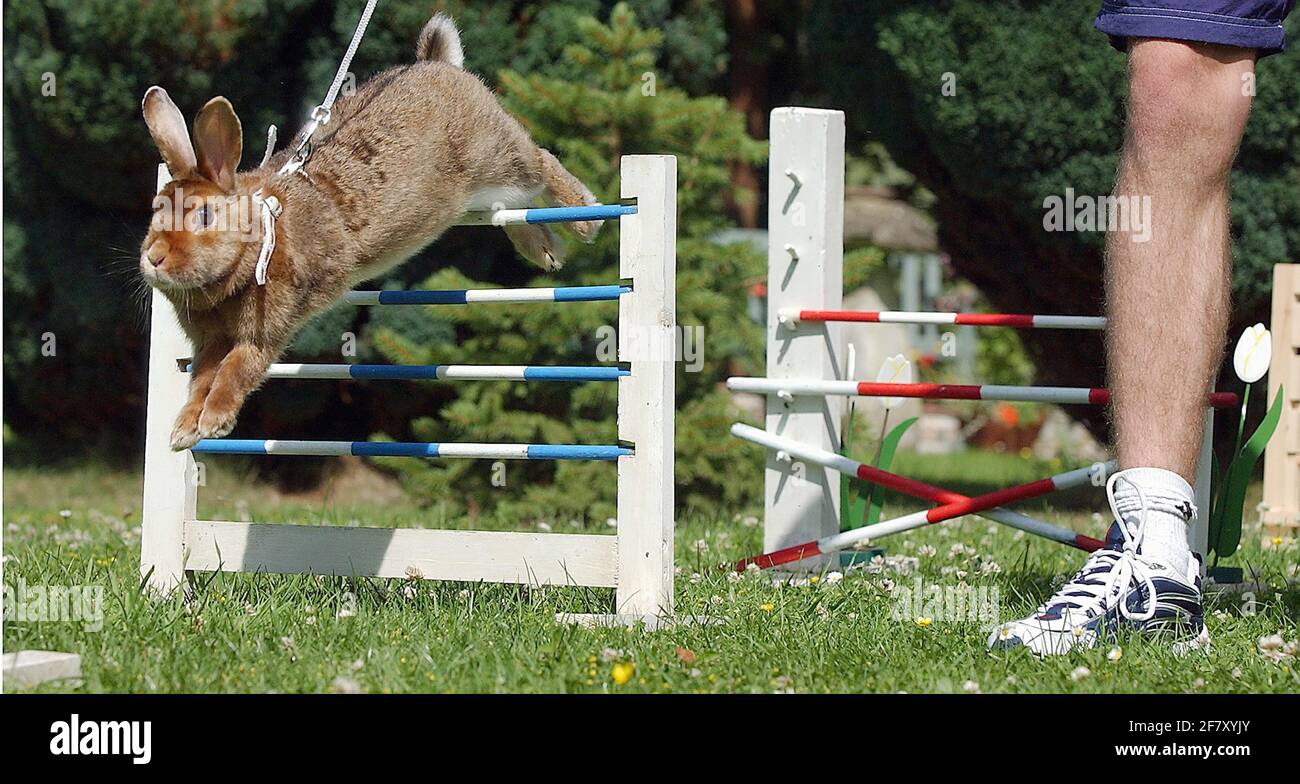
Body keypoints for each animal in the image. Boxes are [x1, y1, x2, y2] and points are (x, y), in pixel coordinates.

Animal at [138, 13, 603, 451]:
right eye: (156, 209)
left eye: (204, 216)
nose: (153, 257)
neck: (256, 240)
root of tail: (441, 66)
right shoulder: (208, 344)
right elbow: (200, 381)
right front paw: (183, 432)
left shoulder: (267, 331)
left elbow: (236, 372)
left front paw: (213, 423)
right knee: (508, 208)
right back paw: (544, 251)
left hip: (499, 158)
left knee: (542, 162)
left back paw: (587, 219)